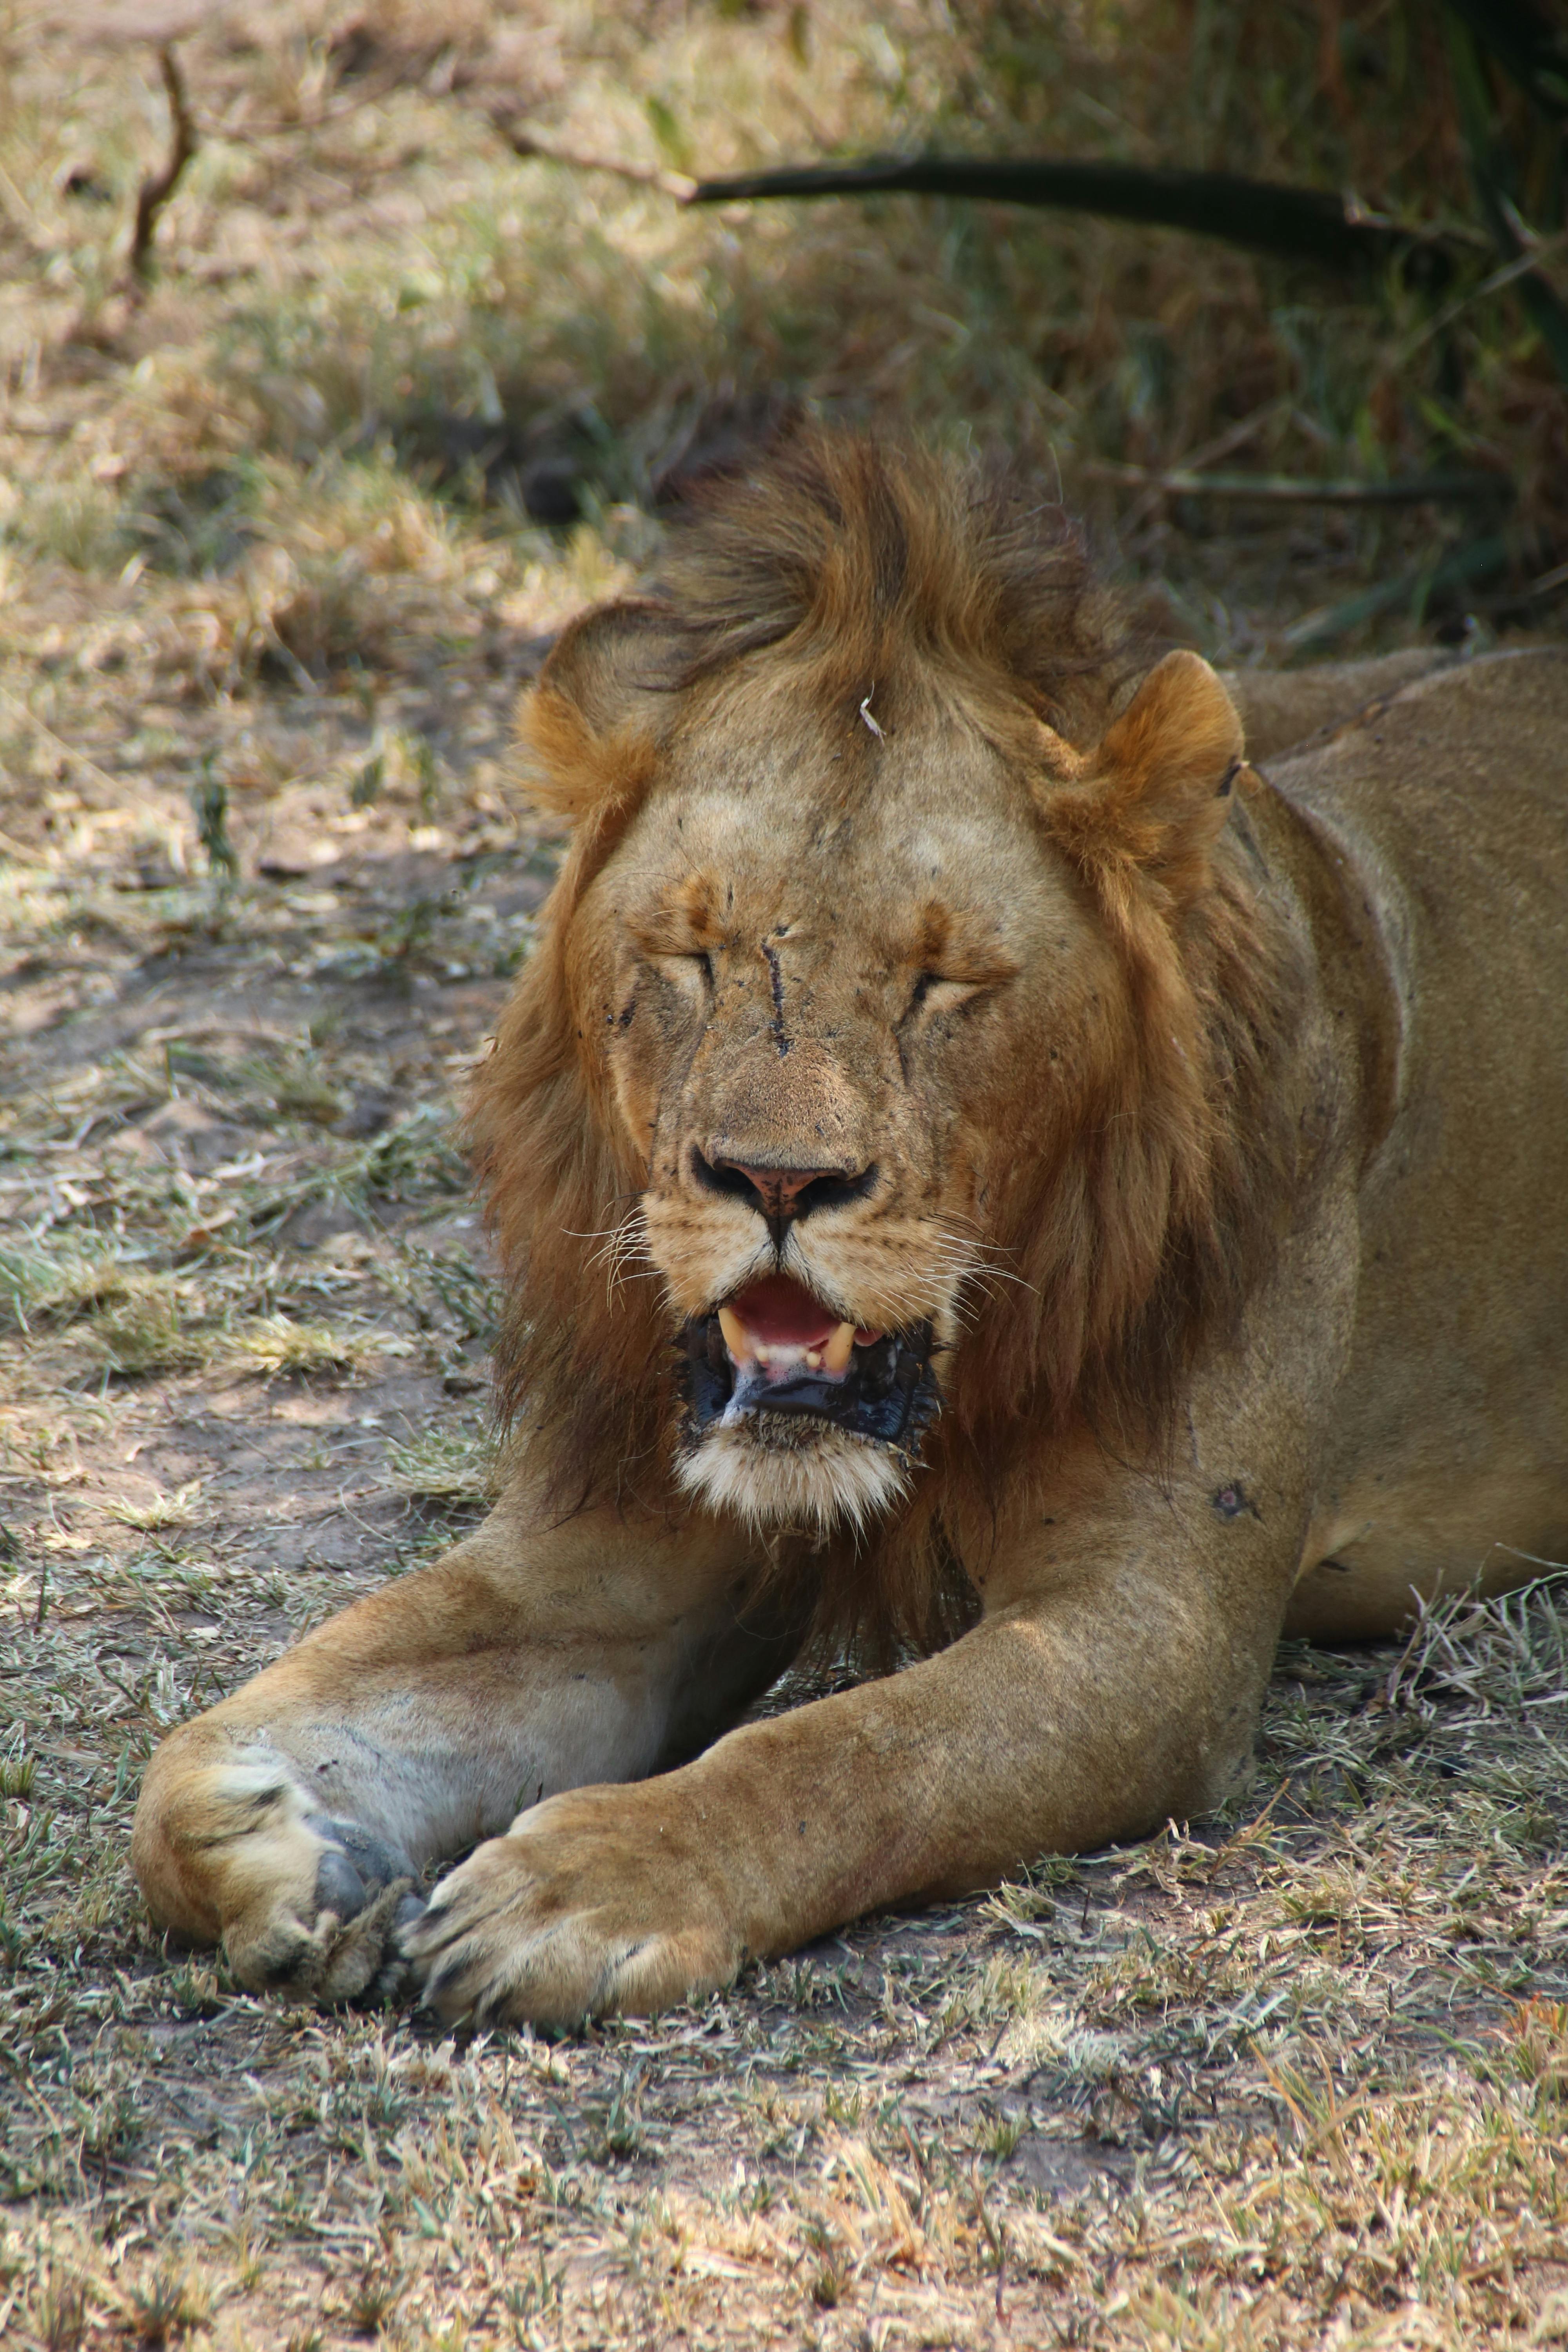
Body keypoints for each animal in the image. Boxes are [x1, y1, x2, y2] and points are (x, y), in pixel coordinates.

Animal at [132, 435, 1568, 2027]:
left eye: (944, 981)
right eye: (691, 952)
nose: (772, 1181)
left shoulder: (1152, 1630)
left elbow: (842, 1754)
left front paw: (584, 1882)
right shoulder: (610, 1547)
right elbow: (198, 1760)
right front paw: (285, 1844)